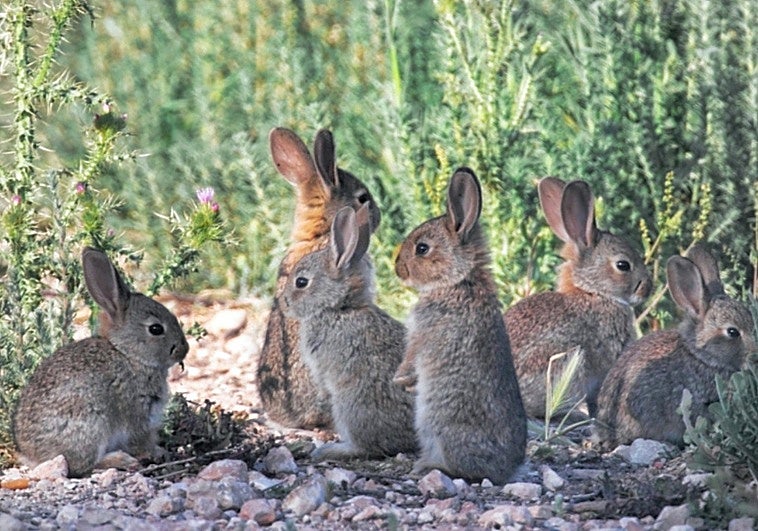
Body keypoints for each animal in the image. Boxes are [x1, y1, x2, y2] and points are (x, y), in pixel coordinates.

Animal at [12, 247, 189, 477]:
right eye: (156, 329)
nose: (184, 349)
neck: (127, 354)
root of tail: (32, 456)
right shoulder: (138, 412)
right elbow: (141, 440)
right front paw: (157, 453)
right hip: (90, 425)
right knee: (82, 465)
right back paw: (122, 460)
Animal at [281, 203, 416, 461]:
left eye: (301, 282)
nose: (285, 304)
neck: (339, 307)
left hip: (350, 405)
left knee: (367, 447)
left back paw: (328, 450)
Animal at [395, 167, 526, 485]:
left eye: (422, 248)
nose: (397, 269)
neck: (458, 280)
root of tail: (505, 470)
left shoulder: (423, 333)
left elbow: (411, 357)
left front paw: (400, 380)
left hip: (442, 429)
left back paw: (427, 467)